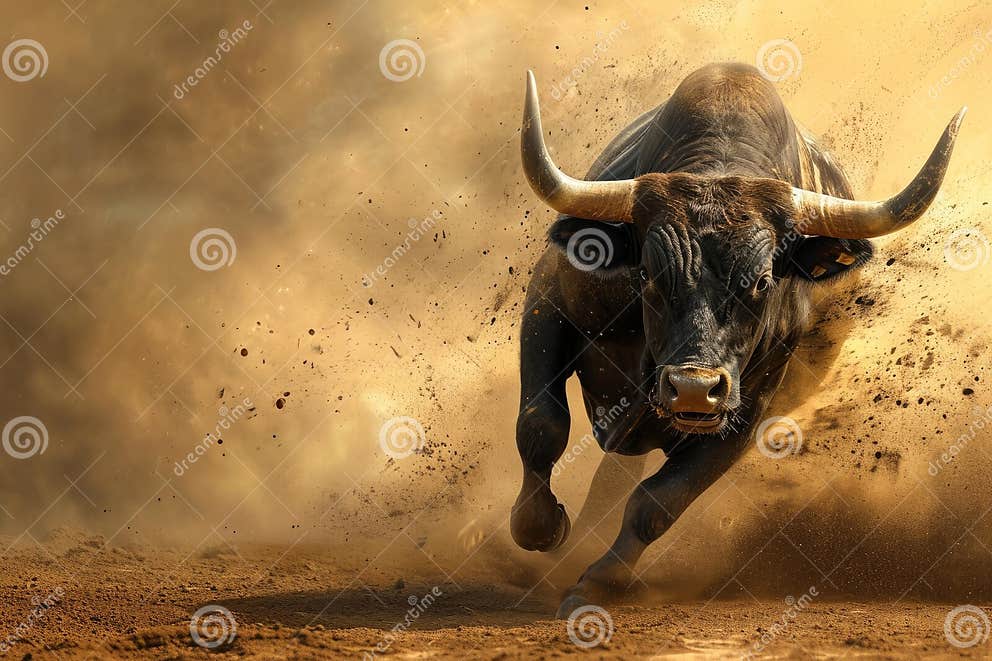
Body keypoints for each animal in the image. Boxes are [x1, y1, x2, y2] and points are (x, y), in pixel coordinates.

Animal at [508, 63, 964, 617]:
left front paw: (597, 581)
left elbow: (658, 503)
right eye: (649, 274)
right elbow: (541, 424)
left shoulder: (747, 415)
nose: (692, 389)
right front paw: (541, 527)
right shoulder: (547, 304)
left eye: (763, 281)